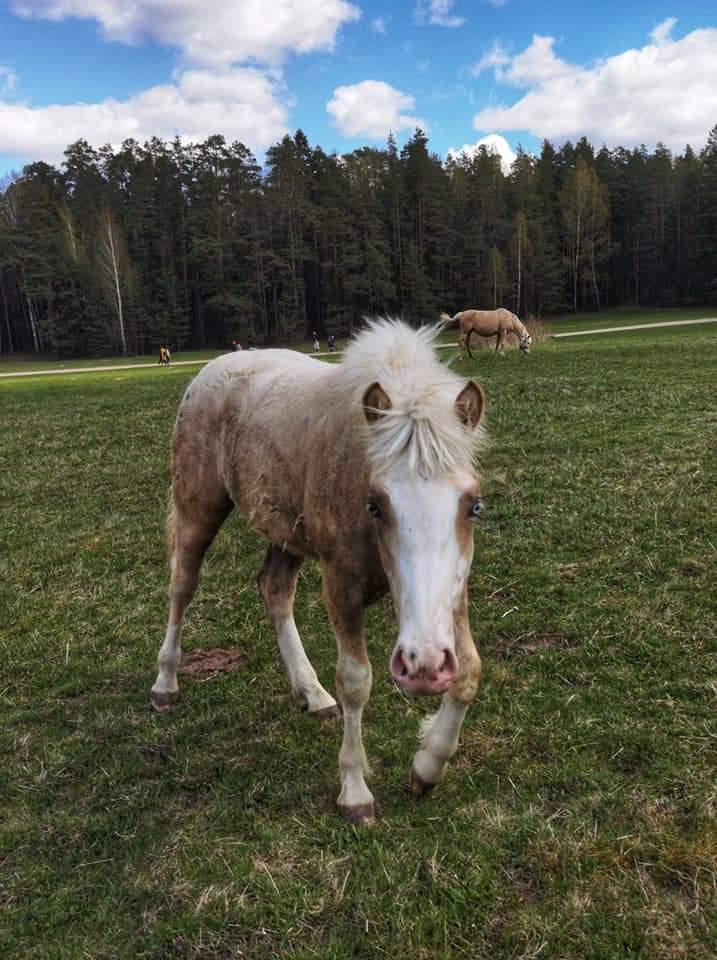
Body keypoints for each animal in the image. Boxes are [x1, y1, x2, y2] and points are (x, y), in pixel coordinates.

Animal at [151, 316, 486, 824]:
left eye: (474, 506)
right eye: (375, 504)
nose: (423, 666)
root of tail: (211, 369)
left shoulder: (452, 593)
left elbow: (468, 673)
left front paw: (427, 767)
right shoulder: (341, 584)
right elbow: (356, 681)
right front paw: (355, 791)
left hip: (285, 530)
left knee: (274, 588)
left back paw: (311, 692)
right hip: (199, 505)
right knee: (182, 586)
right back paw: (165, 683)